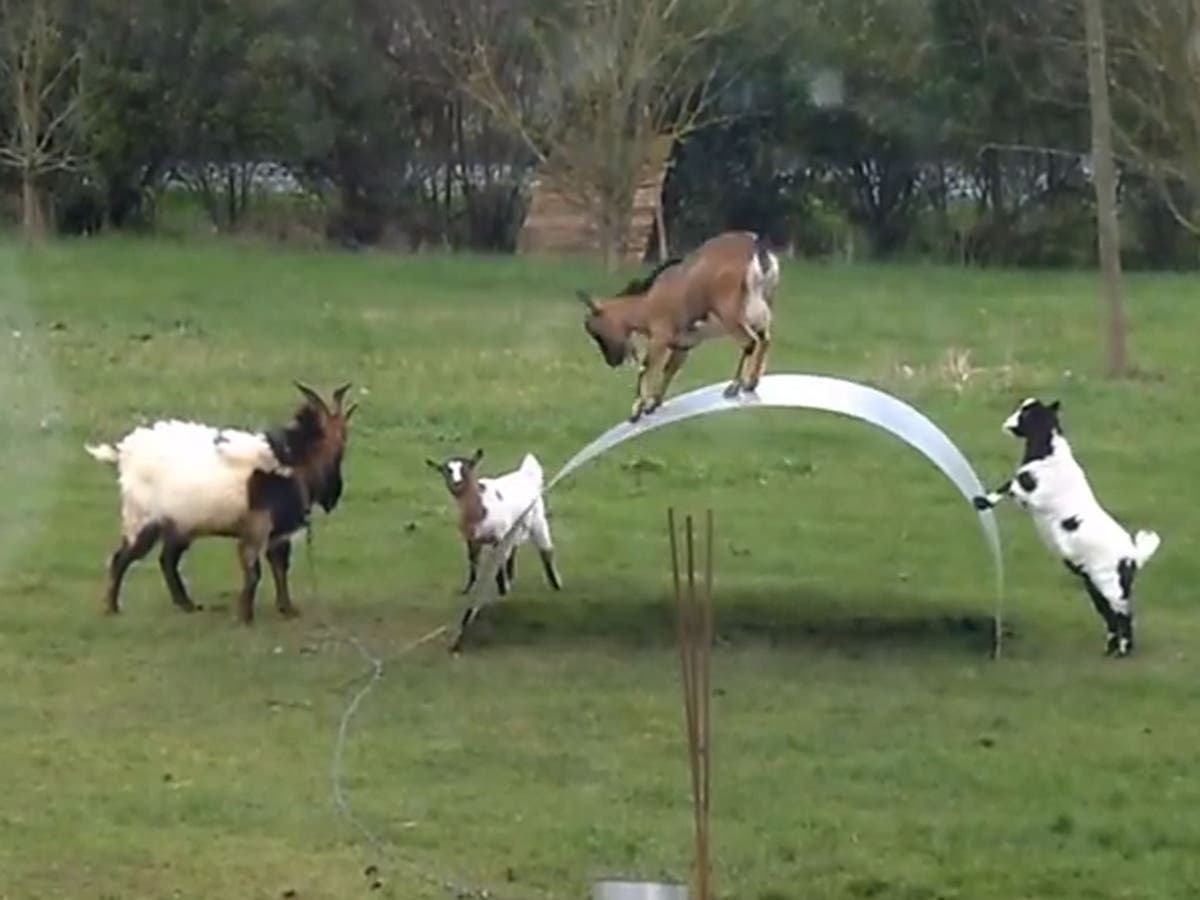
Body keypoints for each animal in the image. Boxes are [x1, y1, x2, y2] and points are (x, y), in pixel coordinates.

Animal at [85, 382, 357, 623]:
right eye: (339, 442)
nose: (335, 494)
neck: (291, 462)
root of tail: (124, 452)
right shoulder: (257, 526)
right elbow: (253, 571)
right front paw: (244, 617)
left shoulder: (278, 533)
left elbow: (280, 567)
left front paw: (287, 609)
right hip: (143, 518)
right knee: (122, 557)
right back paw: (112, 607)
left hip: (179, 524)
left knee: (167, 559)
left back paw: (187, 605)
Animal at [426, 448, 563, 601]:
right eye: (446, 470)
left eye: (467, 468)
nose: (457, 483)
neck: (479, 512)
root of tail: (525, 474)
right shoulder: (471, 539)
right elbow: (473, 562)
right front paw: (468, 589)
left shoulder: (498, 536)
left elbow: (498, 562)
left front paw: (502, 589)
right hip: (515, 526)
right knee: (514, 547)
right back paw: (510, 576)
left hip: (537, 519)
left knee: (545, 549)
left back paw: (555, 583)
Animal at [576, 230, 781, 422]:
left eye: (595, 330)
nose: (613, 361)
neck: (647, 302)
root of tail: (757, 249)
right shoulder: (684, 343)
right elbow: (669, 369)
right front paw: (653, 403)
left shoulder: (660, 337)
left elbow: (645, 368)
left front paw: (636, 411)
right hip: (760, 311)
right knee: (764, 340)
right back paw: (751, 383)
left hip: (729, 312)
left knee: (749, 342)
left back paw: (734, 387)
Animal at [972, 397, 1161, 657]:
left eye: (1026, 414)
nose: (1006, 424)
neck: (1049, 455)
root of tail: (1133, 556)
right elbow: (1008, 484)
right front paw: (981, 500)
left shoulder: (1032, 494)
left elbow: (1010, 486)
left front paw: (982, 502)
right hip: (1095, 584)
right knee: (1110, 616)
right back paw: (1110, 649)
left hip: (1111, 584)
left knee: (1123, 614)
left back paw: (1123, 650)